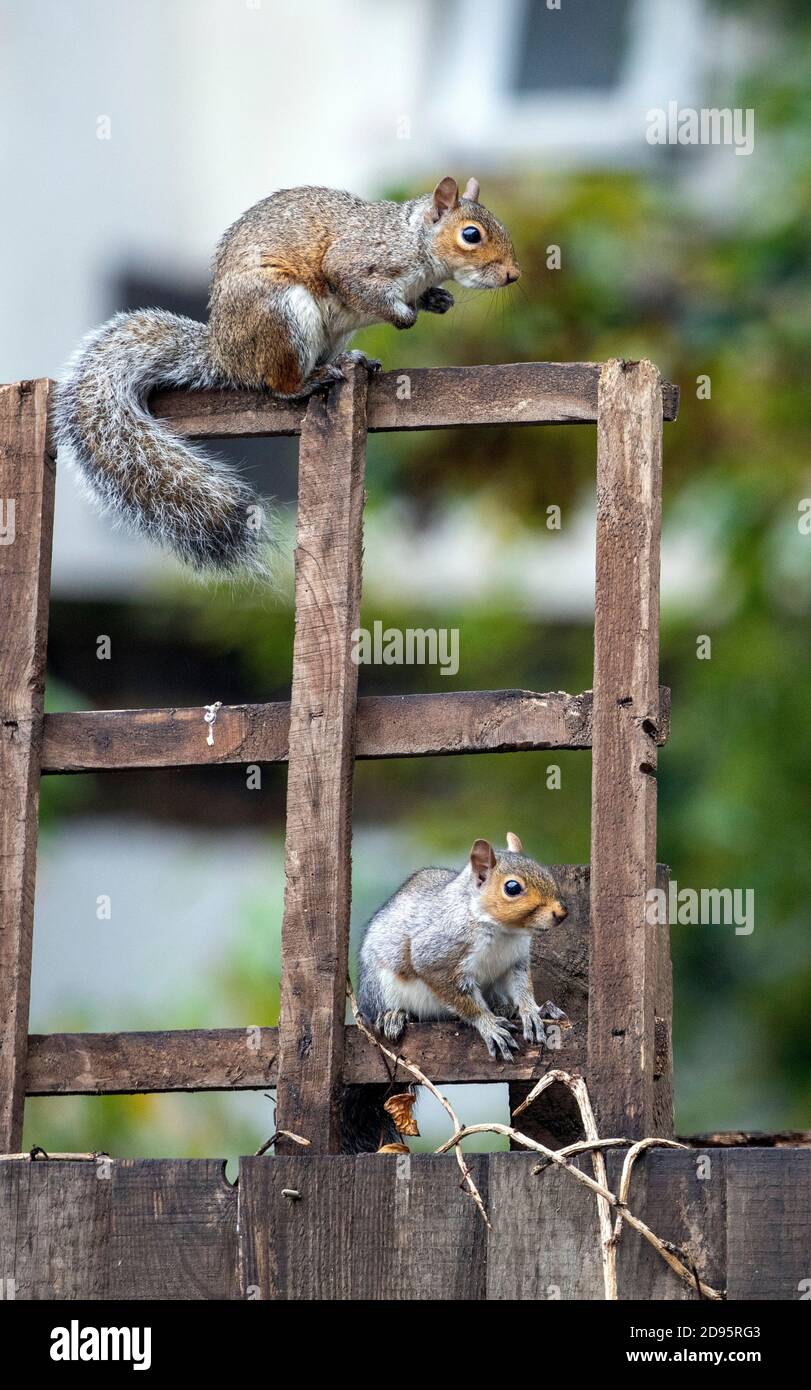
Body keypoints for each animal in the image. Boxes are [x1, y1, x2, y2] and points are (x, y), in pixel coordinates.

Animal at [55, 176, 520, 576]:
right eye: (472, 235)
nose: (513, 274)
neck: (415, 243)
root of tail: (226, 355)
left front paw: (437, 300)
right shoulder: (360, 260)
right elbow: (352, 282)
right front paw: (405, 315)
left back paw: (352, 360)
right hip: (284, 312)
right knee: (278, 385)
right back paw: (307, 382)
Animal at [342, 833, 568, 1153]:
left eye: (545, 871)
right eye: (512, 888)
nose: (561, 913)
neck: (501, 930)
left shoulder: (514, 964)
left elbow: (522, 990)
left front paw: (531, 1012)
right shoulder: (437, 958)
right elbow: (463, 1001)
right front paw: (488, 1026)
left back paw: (514, 1009)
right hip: (379, 986)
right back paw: (393, 1016)